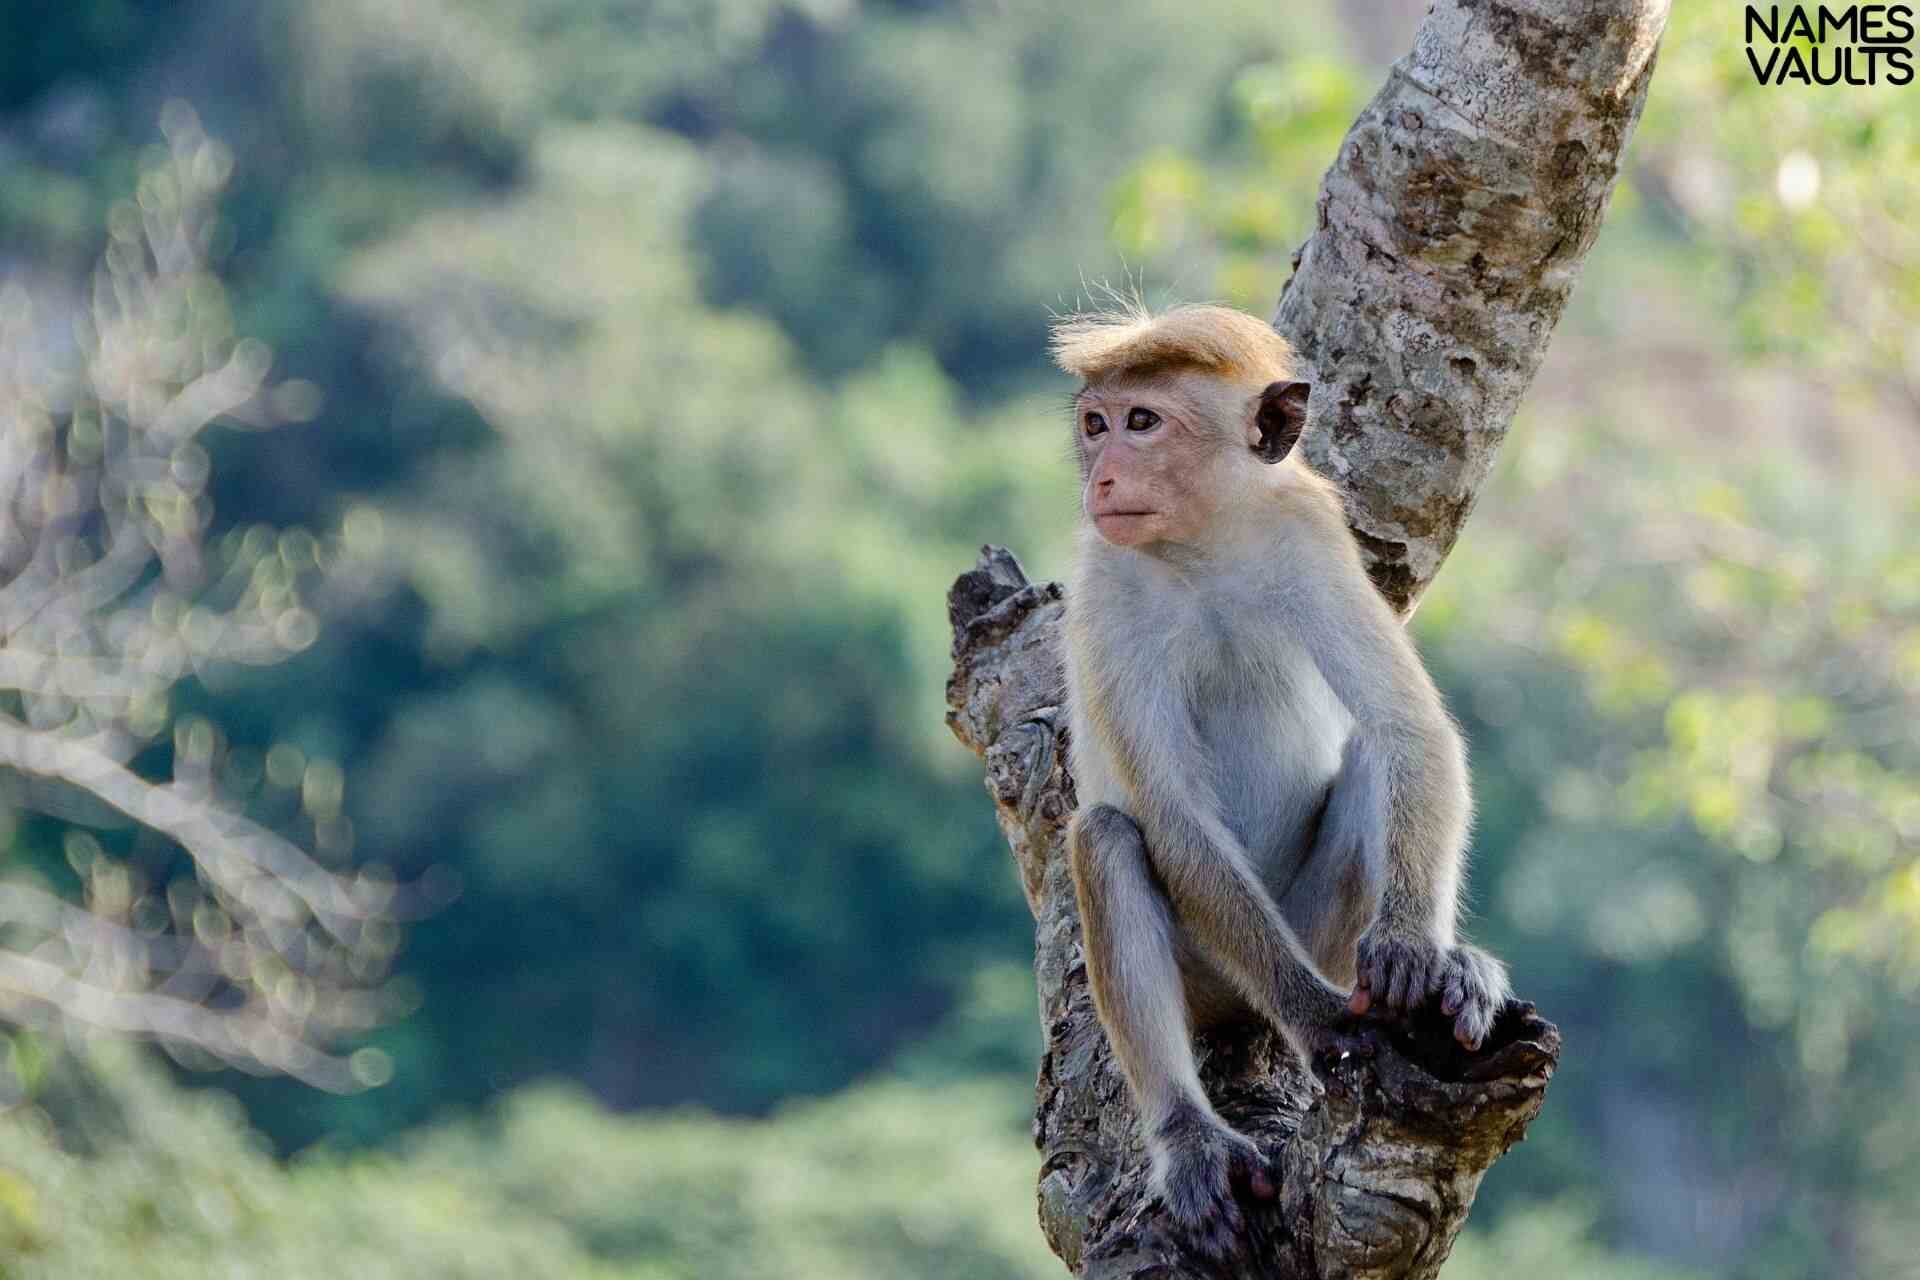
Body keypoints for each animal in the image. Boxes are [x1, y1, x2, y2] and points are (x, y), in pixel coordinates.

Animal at [1054, 302, 1509, 1257]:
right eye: (1095, 424)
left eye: (1141, 421)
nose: (1104, 476)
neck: (1202, 548)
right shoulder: (1108, 589)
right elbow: (1175, 817)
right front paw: (1318, 1019)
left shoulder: (1309, 536)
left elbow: (1407, 728)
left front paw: (1418, 951)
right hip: (1213, 970)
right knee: (1107, 838)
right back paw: (1192, 1139)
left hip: (1318, 926)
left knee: (1373, 756)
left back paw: (1448, 967)